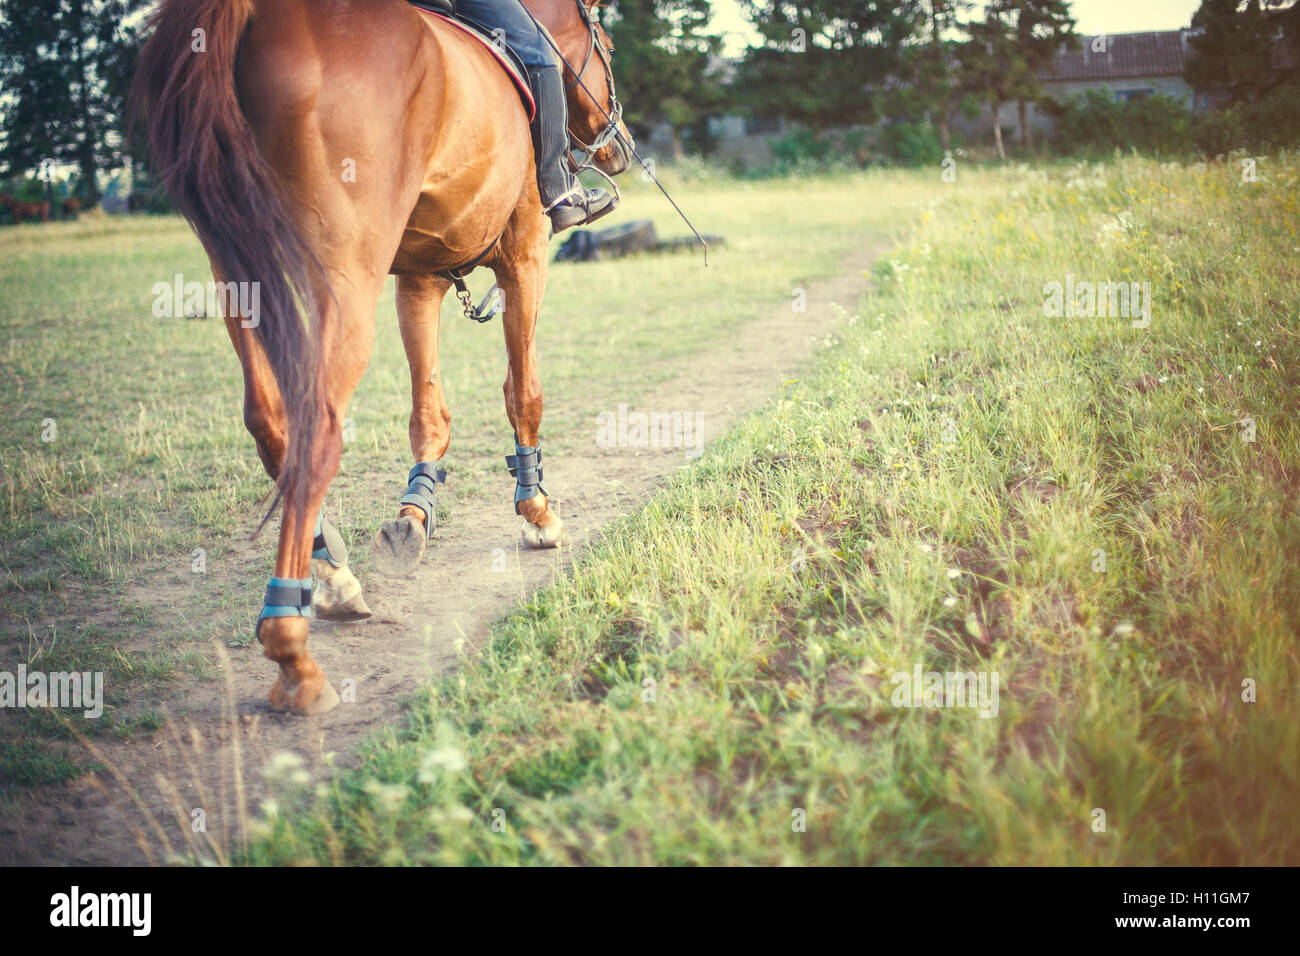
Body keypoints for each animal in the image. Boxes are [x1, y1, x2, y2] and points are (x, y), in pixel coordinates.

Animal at [134, 0, 632, 715]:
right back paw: (293, 650)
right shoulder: (525, 252)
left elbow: (430, 413)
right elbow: (524, 393)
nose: (617, 149)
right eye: (608, 48)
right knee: (316, 432)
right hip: (344, 280)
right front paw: (537, 511)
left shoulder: (420, 276)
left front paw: (414, 513)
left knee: (270, 424)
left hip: (239, 276)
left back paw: (335, 576)